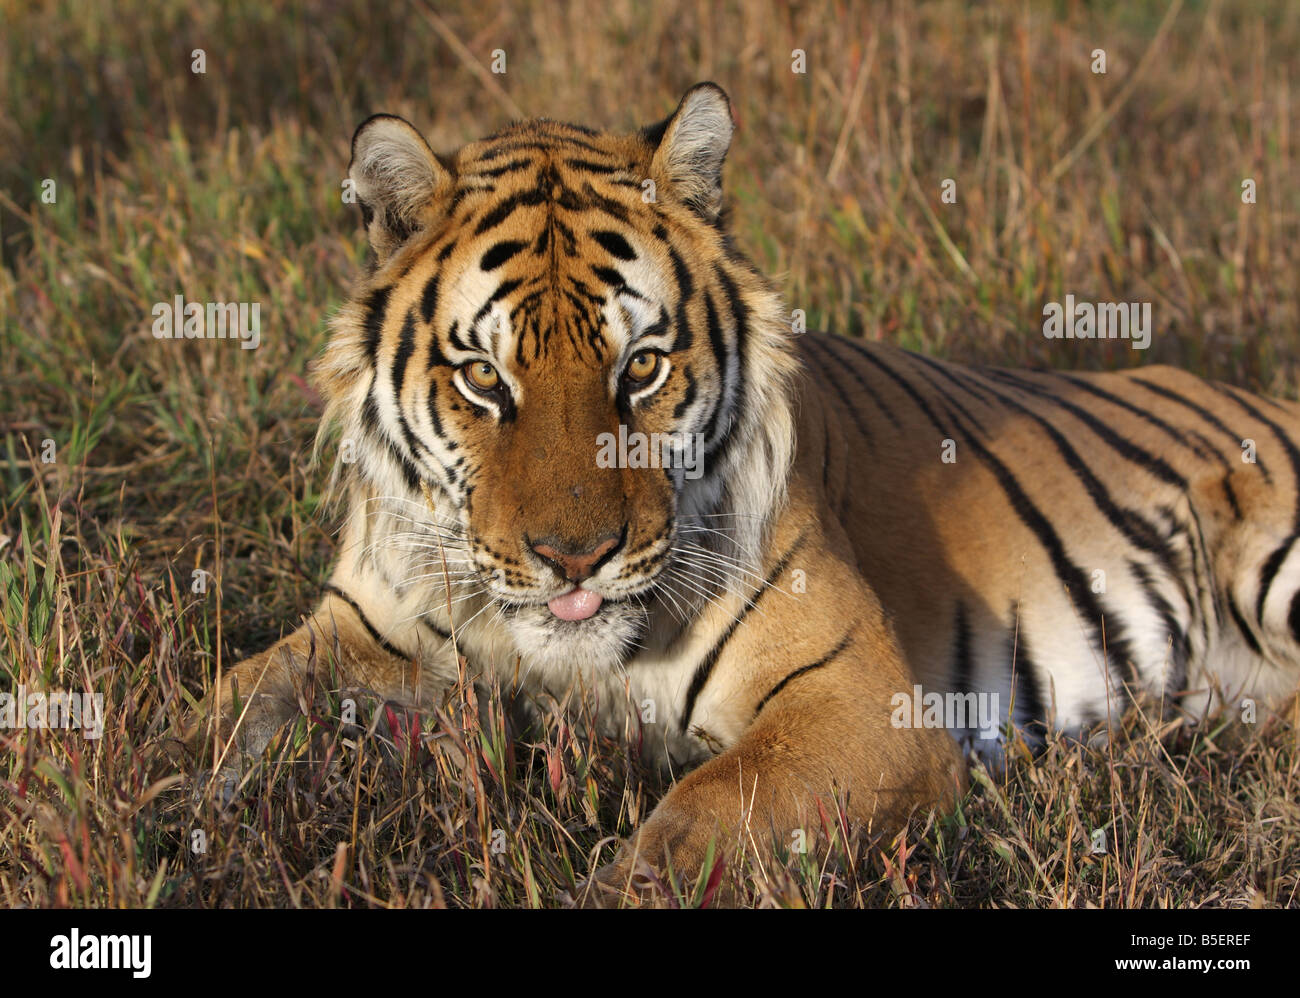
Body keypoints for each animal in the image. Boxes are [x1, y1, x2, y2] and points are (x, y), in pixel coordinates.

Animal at [186, 82, 1300, 899]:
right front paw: (178, 807)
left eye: (639, 367)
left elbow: (701, 820)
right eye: (483, 378)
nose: (573, 557)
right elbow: (228, 704)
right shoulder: (360, 630)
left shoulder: (856, 702)